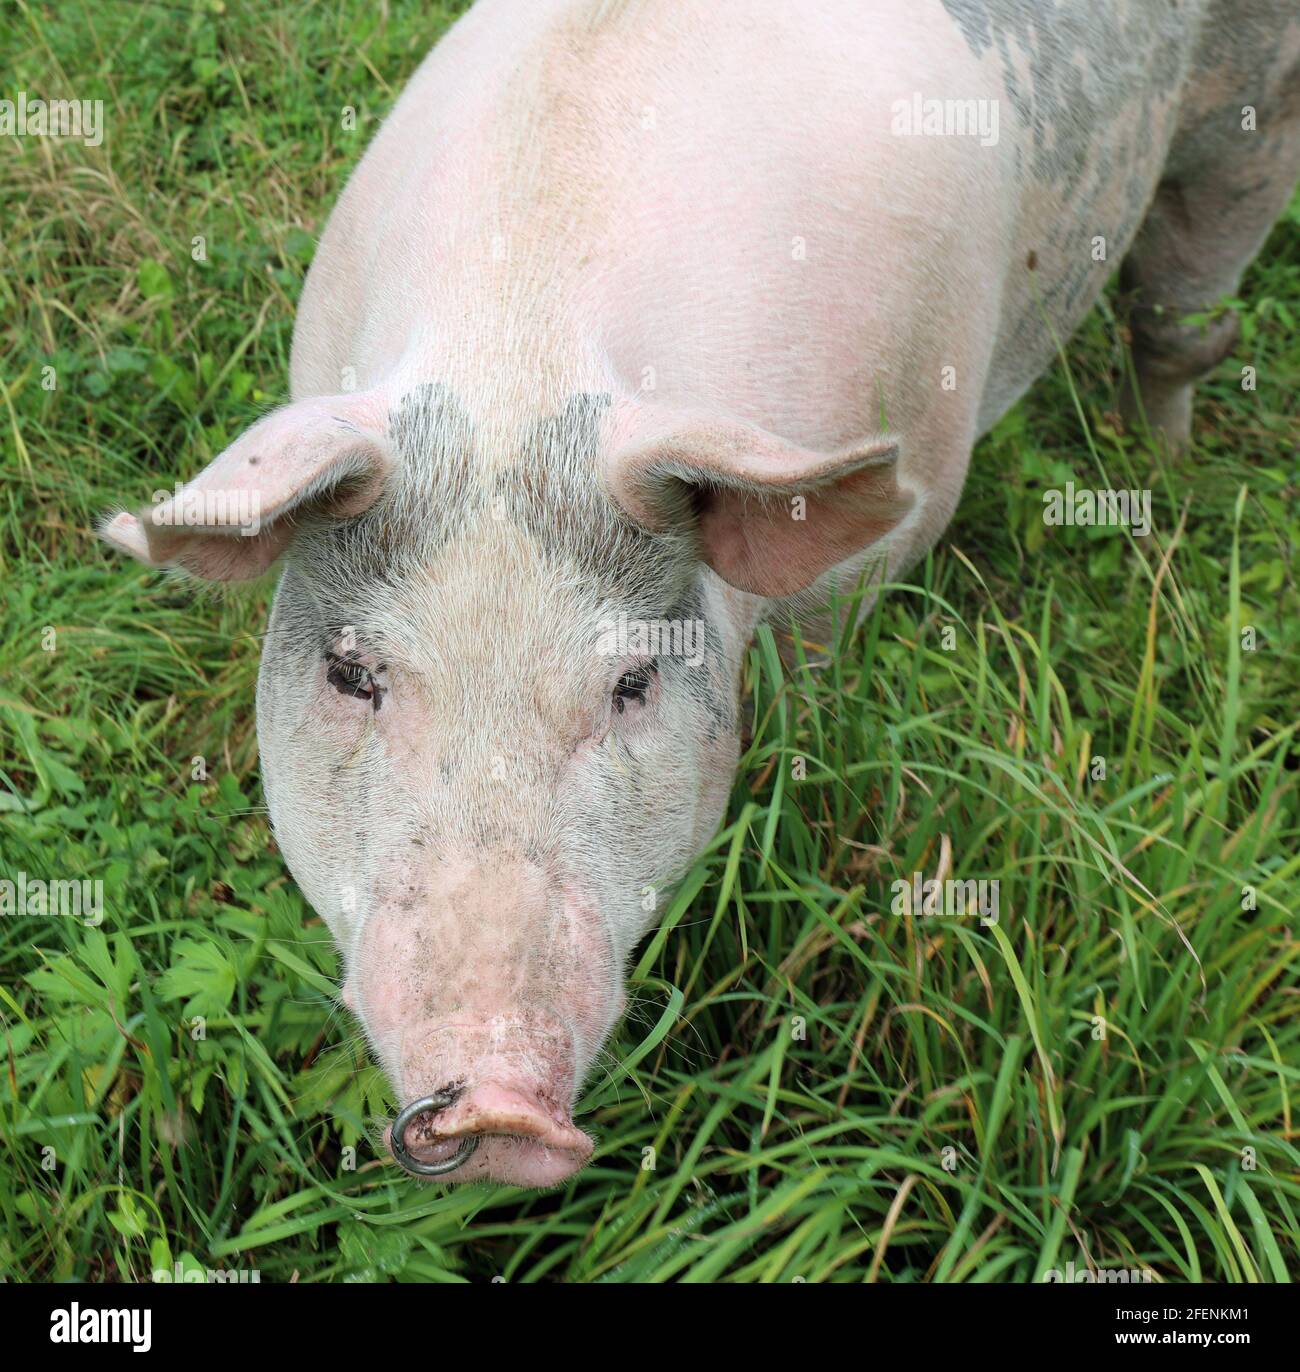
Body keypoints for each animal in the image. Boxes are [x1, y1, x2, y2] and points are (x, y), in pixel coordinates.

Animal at [103, 0, 1300, 1185]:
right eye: (352, 673)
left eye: (633, 681)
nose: (494, 1106)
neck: (518, 354)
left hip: (1251, 121)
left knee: (1182, 315)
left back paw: (1162, 459)